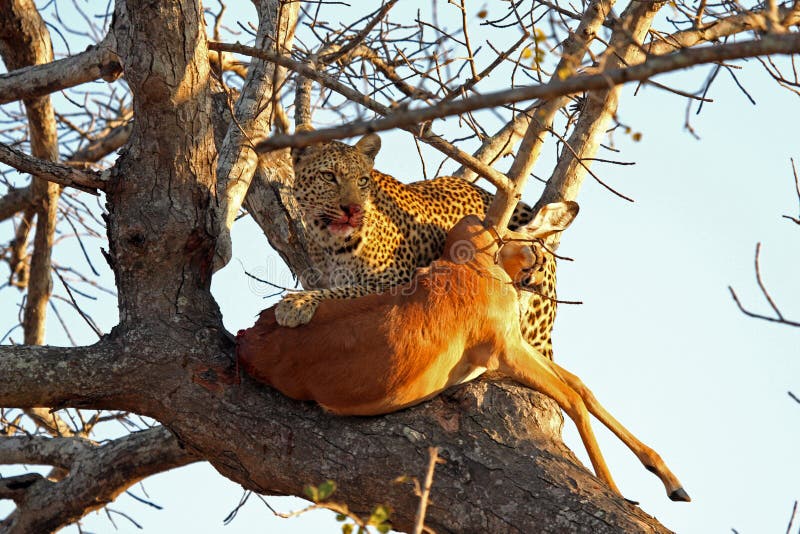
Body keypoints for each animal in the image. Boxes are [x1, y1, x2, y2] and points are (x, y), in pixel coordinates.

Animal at [237, 202, 689, 502]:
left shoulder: (512, 348)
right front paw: (618, 493)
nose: (533, 272)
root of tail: (247, 337)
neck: (472, 264)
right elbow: (573, 399)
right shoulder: (507, 351)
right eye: (531, 242)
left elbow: (583, 387)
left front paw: (672, 483)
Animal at [275, 133, 565, 360]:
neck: (328, 241)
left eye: (362, 181)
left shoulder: (395, 281)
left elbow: (342, 291)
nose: (352, 209)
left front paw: (296, 303)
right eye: (328, 176)